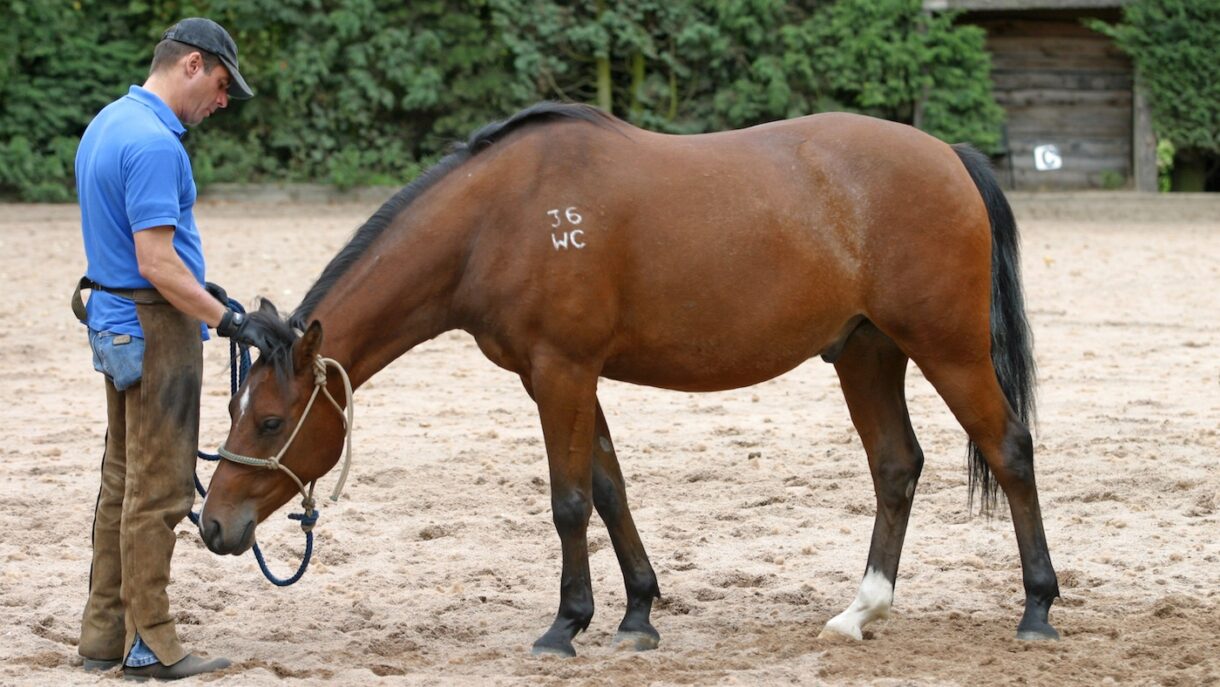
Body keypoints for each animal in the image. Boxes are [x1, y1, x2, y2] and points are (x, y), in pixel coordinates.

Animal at [198, 102, 1059, 656]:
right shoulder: (567, 377)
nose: (213, 526)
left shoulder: (562, 373)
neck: (497, 221)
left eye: (270, 421)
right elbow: (610, 489)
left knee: (1010, 449)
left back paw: (1038, 608)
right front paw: (638, 614)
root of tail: (947, 155)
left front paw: (565, 624)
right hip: (866, 353)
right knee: (895, 466)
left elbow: (570, 501)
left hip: (948, 349)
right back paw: (860, 612)